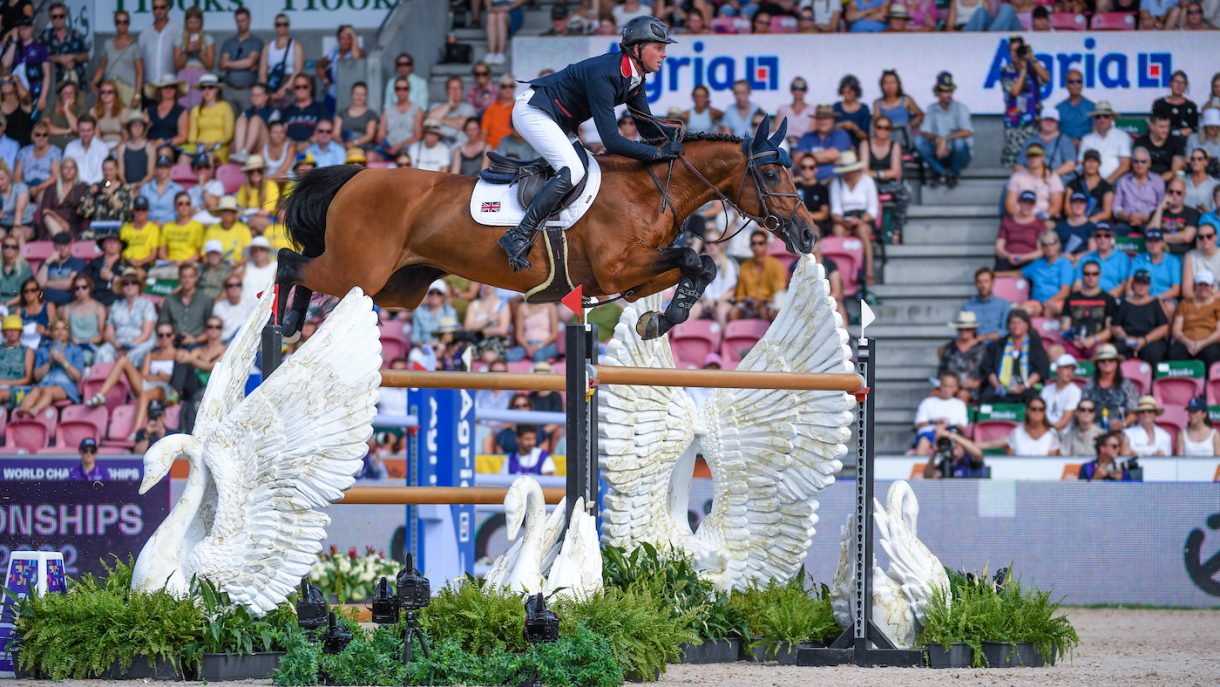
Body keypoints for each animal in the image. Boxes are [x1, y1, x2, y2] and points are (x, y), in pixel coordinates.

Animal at [275, 115, 814, 340]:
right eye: (771, 174)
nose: (808, 235)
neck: (648, 189)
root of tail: (357, 176)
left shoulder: (633, 278)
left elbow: (698, 265)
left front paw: (662, 319)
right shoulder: (618, 270)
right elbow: (691, 257)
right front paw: (667, 317)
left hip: (397, 289)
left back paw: (290, 322)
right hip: (359, 271)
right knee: (291, 263)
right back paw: (282, 322)